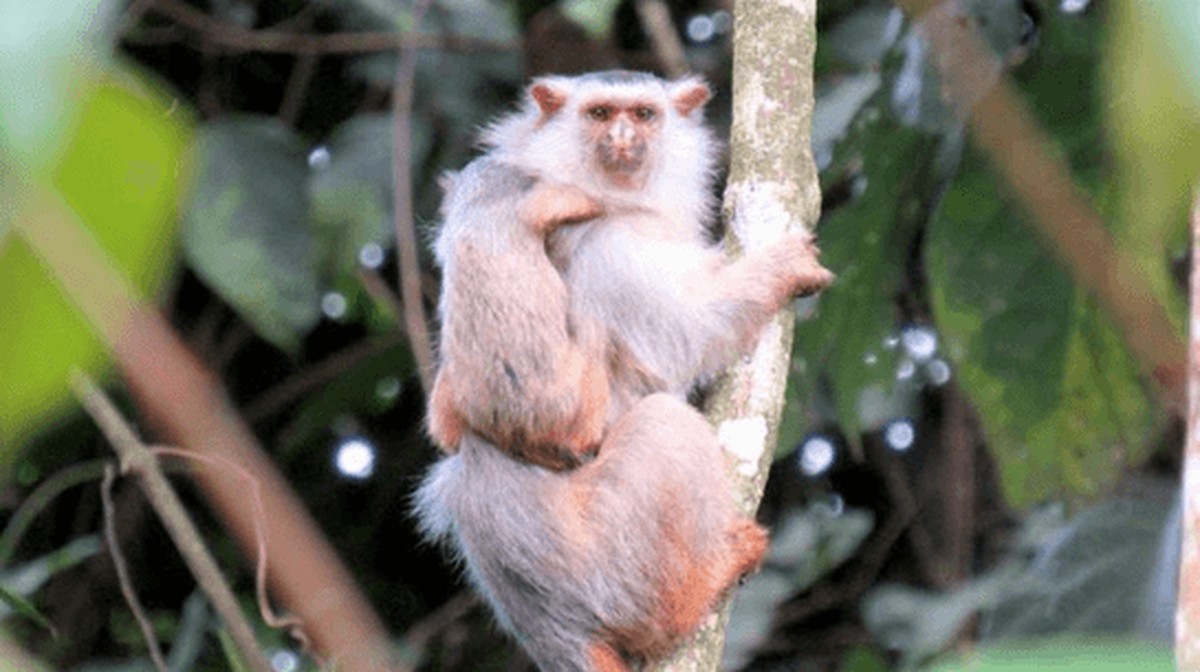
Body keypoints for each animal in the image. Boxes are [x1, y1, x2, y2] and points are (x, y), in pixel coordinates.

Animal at [427, 157, 610, 471]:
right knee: (594, 347)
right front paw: (600, 203)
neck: (476, 204)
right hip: (572, 392)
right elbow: (564, 201)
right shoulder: (526, 205)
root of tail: (513, 432)